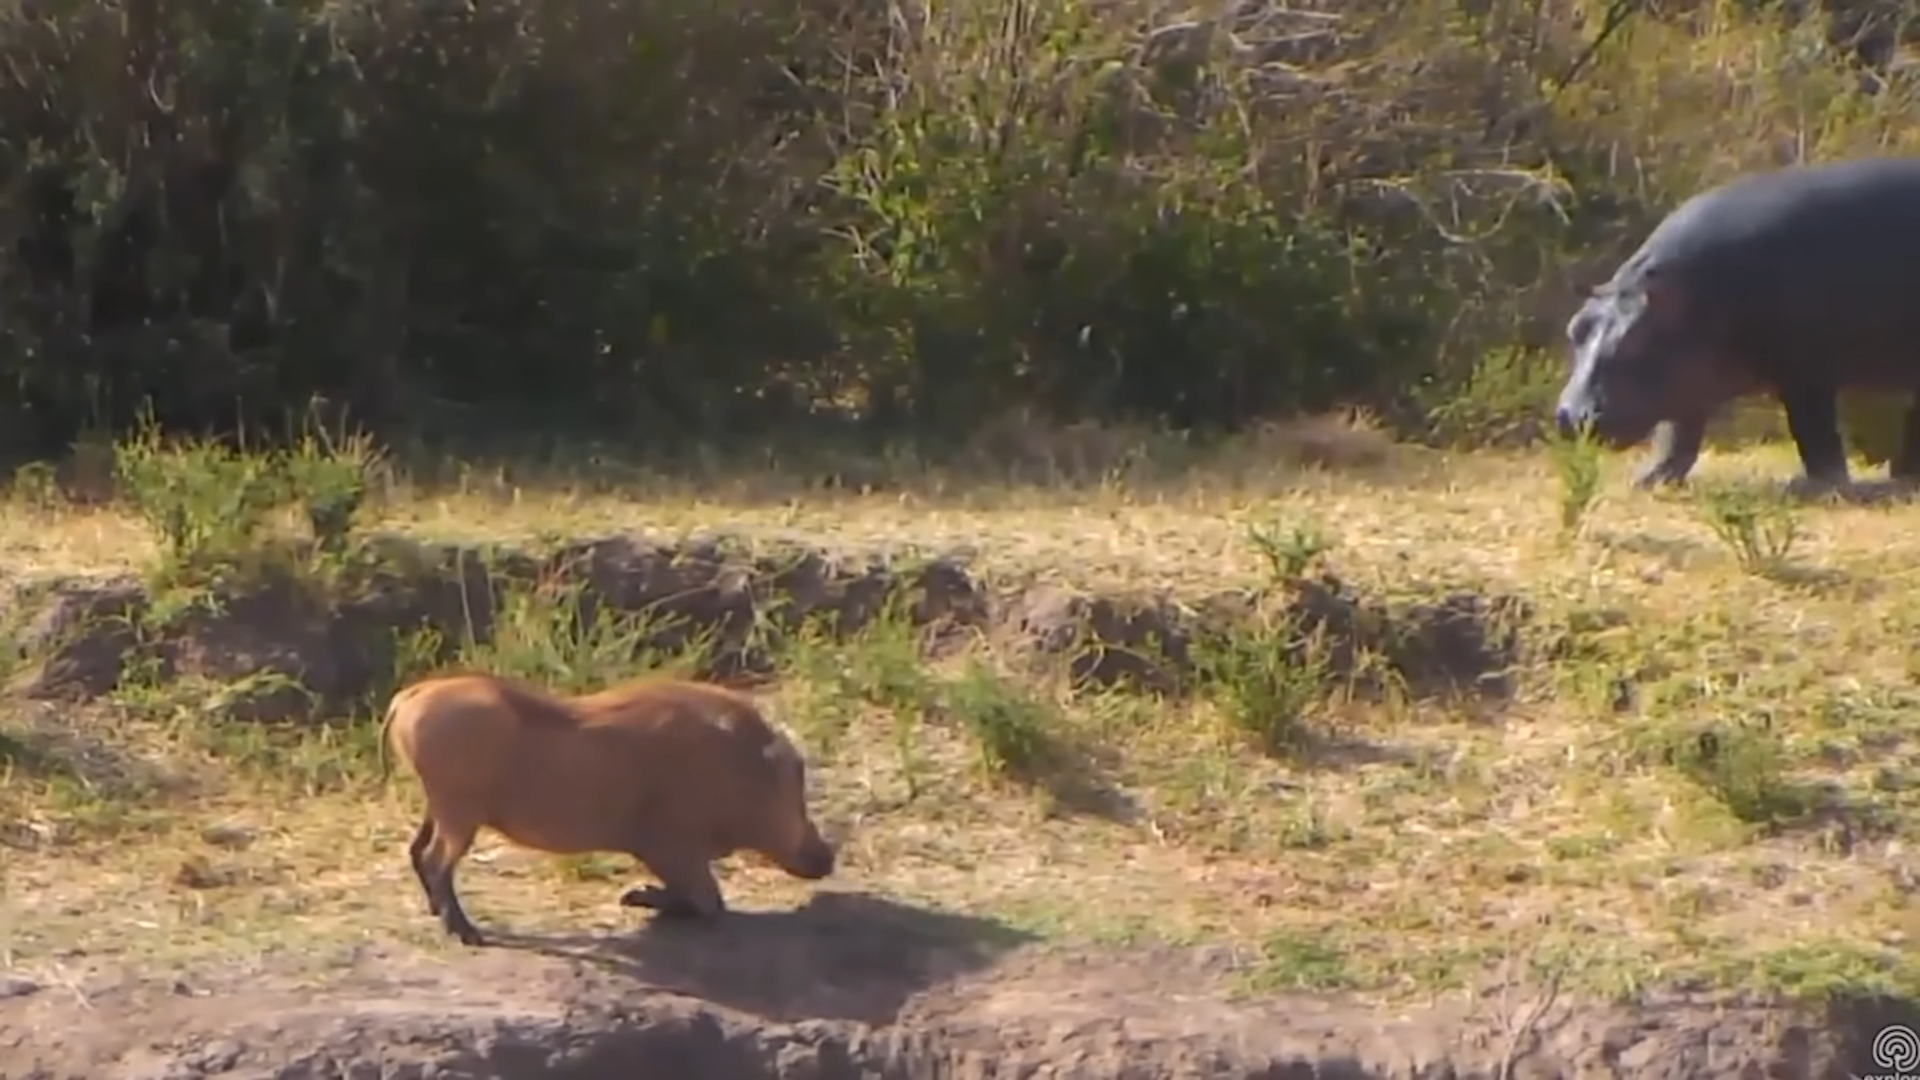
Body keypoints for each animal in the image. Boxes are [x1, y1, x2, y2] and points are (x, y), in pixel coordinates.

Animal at [1553, 156, 1920, 490]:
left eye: (1636, 340)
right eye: (1575, 328)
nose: (1571, 415)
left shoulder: (1807, 373)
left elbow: (1814, 434)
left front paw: (1817, 486)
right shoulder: (1690, 376)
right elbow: (1677, 433)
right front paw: (1649, 480)